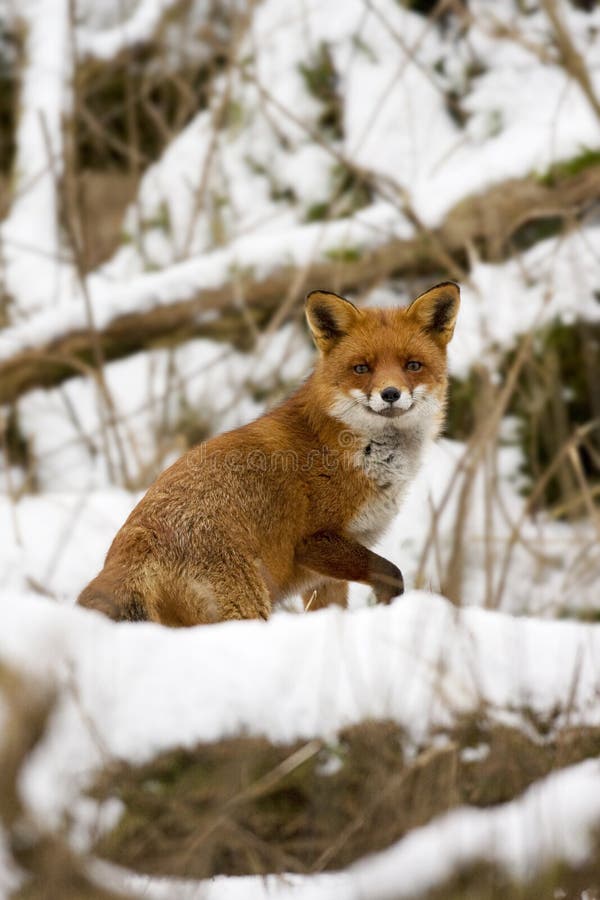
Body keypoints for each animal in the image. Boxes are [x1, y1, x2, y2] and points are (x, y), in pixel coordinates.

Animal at [77, 281, 460, 625]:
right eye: (361, 368)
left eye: (413, 365)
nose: (390, 394)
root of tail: (135, 548)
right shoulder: (316, 542)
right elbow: (391, 572)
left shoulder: (324, 577)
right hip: (245, 607)